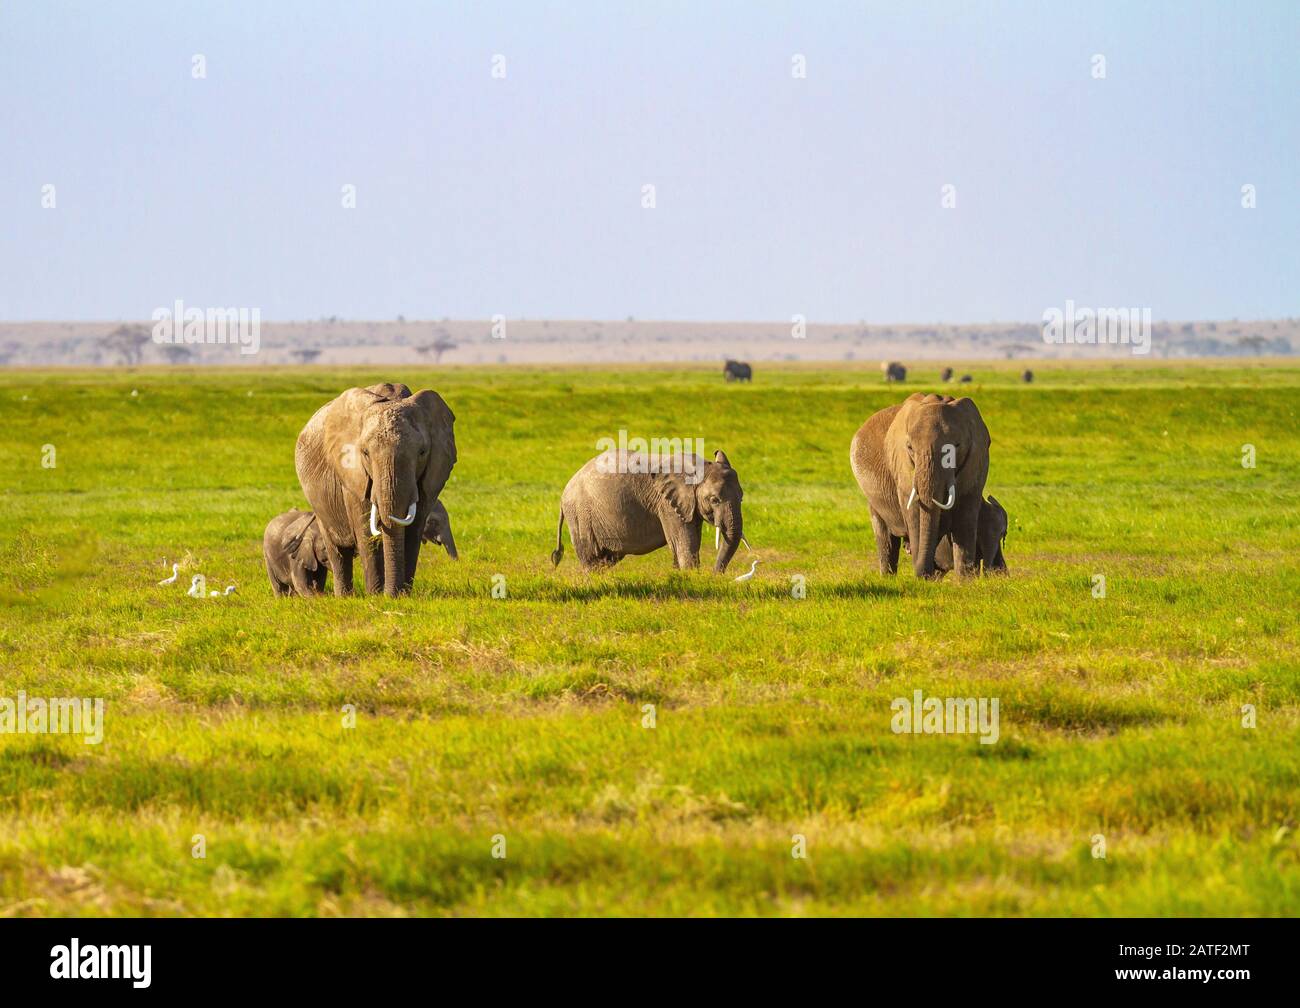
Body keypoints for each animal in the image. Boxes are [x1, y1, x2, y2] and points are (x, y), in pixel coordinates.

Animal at [295, 382, 456, 597]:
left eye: (422, 452)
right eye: (365, 453)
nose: (392, 594)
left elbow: (413, 529)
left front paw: (403, 595)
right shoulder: (353, 478)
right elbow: (366, 531)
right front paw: (376, 595)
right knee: (337, 551)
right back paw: (344, 597)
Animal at [551, 449, 745, 573]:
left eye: (742, 497)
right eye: (714, 500)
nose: (715, 574)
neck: (701, 466)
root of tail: (563, 494)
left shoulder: (688, 505)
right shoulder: (666, 504)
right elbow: (684, 543)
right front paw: (691, 577)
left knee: (606, 559)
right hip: (580, 515)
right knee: (592, 558)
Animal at [849, 393, 991, 579]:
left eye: (956, 446)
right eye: (910, 447)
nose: (928, 571)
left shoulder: (976, 462)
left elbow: (966, 516)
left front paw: (966, 581)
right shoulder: (903, 467)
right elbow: (915, 513)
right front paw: (924, 579)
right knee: (884, 535)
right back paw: (888, 578)